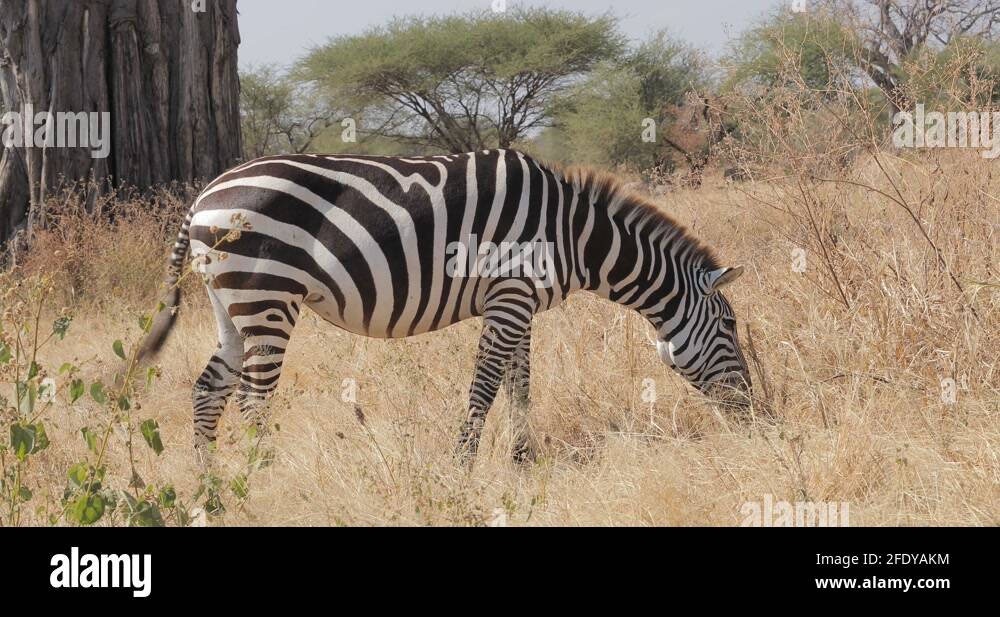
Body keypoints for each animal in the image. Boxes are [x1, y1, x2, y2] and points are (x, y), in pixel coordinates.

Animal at [141, 149, 751, 465]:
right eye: (729, 325)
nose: (753, 411)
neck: (572, 235)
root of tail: (204, 196)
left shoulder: (519, 301)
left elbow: (519, 383)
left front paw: (522, 459)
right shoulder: (510, 297)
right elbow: (485, 385)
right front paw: (463, 466)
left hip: (232, 304)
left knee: (208, 390)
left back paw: (217, 490)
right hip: (267, 297)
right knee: (252, 400)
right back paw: (265, 474)